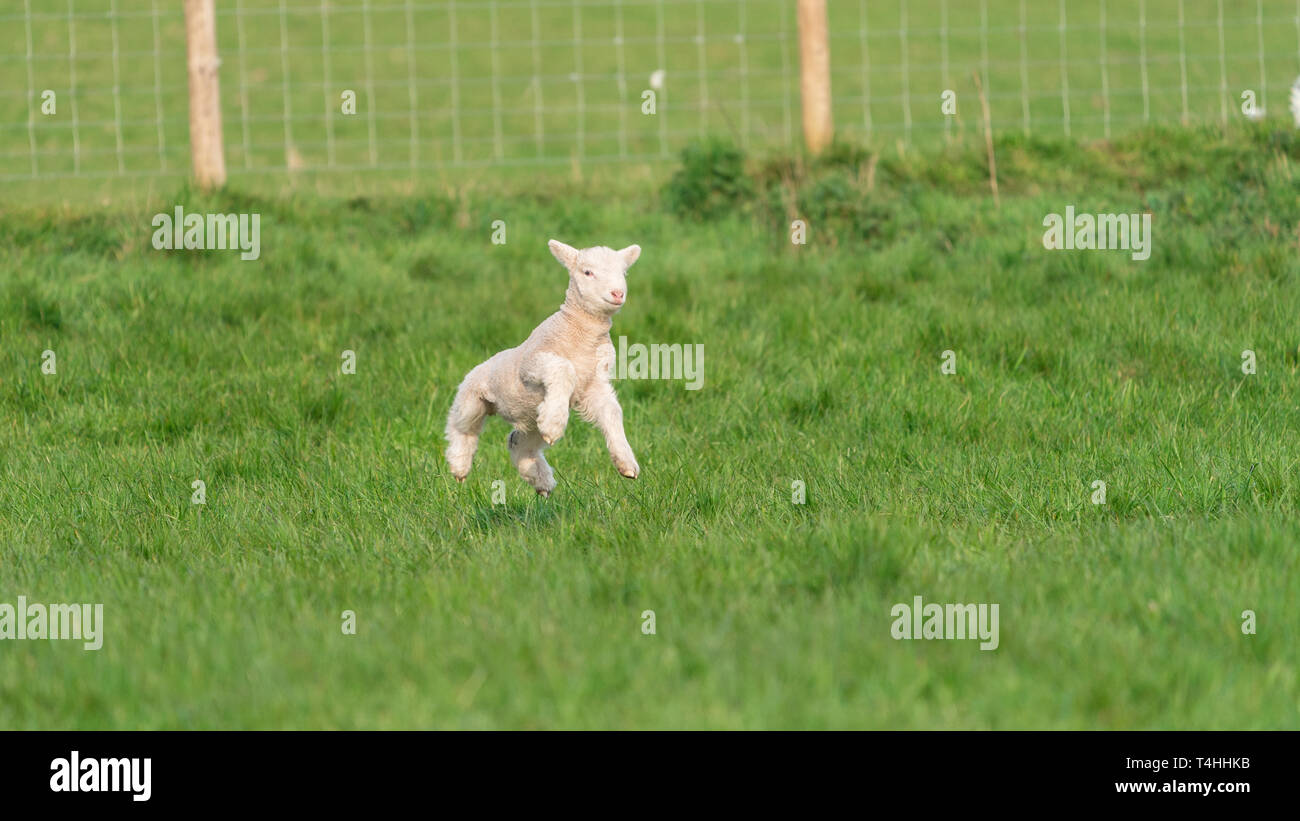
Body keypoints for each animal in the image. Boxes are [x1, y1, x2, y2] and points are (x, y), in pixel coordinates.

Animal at [445, 239, 642, 496]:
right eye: (587, 272)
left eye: (624, 273)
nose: (618, 293)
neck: (581, 334)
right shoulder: (534, 363)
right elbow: (563, 369)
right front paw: (554, 422)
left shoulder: (595, 384)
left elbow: (612, 412)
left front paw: (626, 463)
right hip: (472, 398)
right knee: (461, 425)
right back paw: (459, 465)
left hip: (530, 421)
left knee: (518, 443)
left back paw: (542, 481)